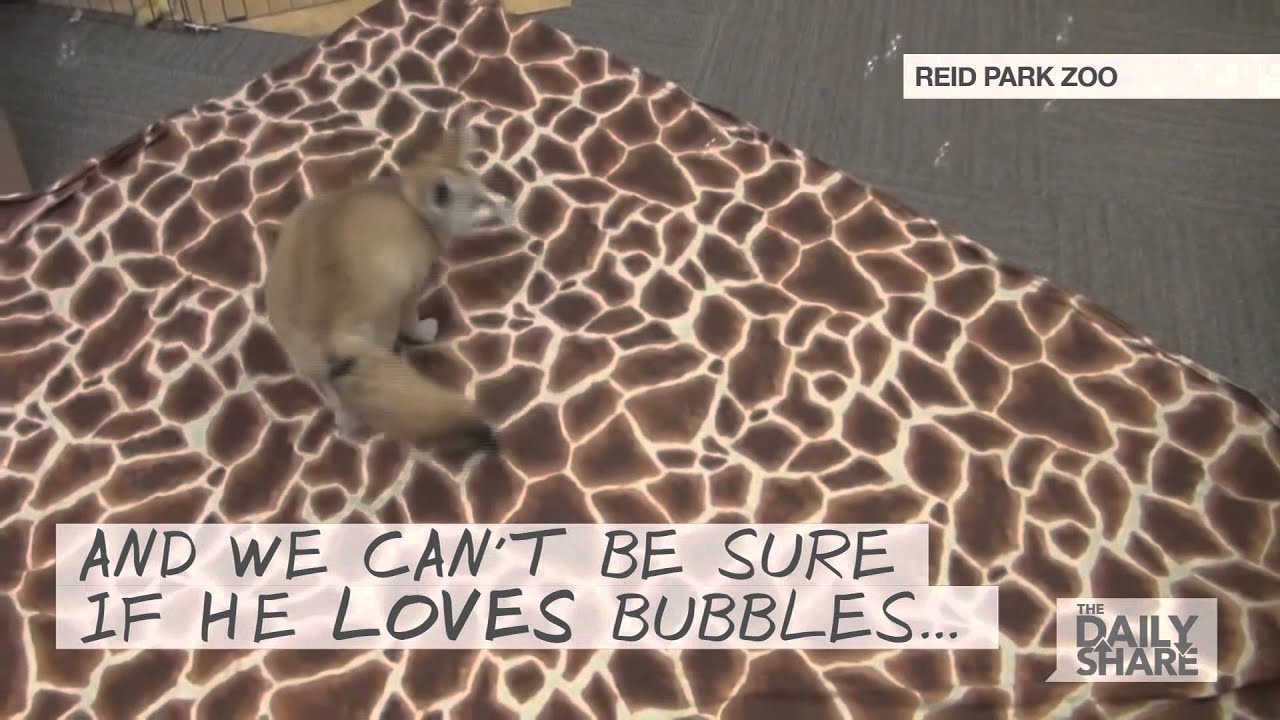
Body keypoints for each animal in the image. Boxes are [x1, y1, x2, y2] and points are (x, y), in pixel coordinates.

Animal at [263, 115, 513, 456]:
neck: (404, 196)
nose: (506, 201)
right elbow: (412, 319)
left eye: (485, 187)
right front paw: (423, 330)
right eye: (480, 203)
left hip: (309, 363)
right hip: (383, 324)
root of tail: (325, 331)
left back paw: (348, 428)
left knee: (336, 402)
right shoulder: (411, 286)